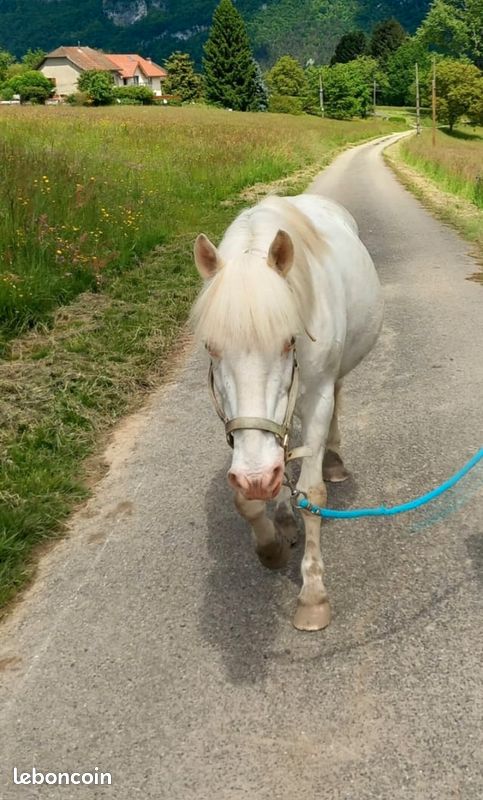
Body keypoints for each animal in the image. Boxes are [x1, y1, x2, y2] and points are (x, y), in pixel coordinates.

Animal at [191, 194, 383, 631]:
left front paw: (313, 594)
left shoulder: (316, 397)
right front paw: (271, 545)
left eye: (288, 341)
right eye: (211, 347)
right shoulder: (241, 432)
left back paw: (332, 459)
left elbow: (312, 492)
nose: (258, 477)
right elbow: (246, 498)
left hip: (333, 380)